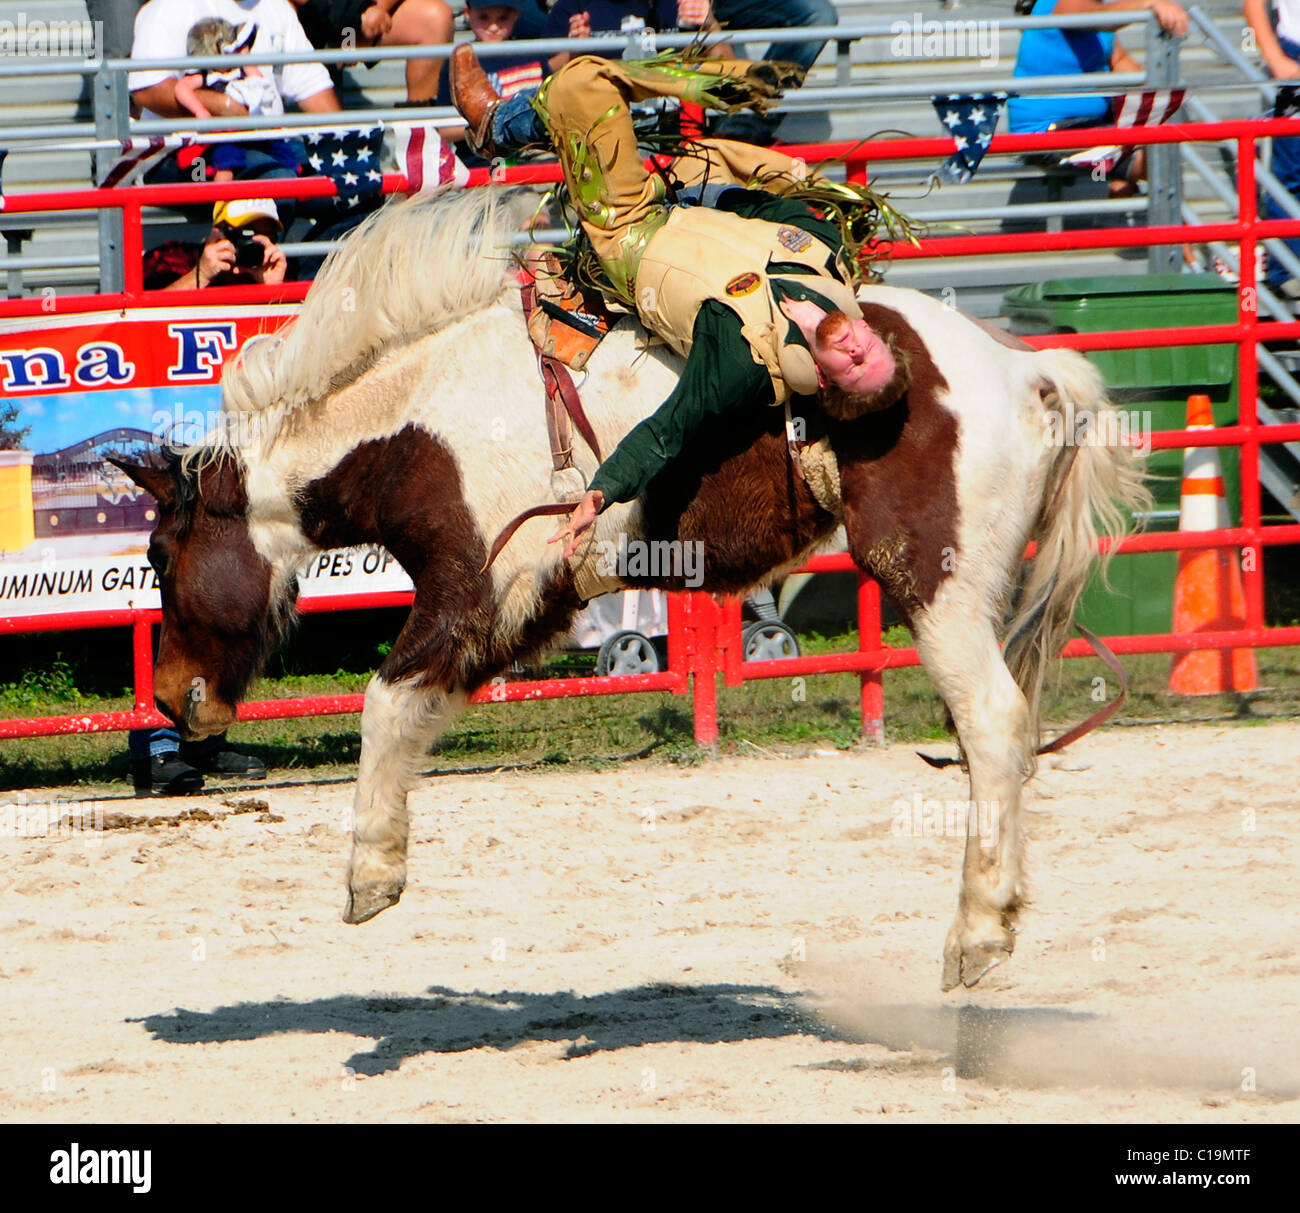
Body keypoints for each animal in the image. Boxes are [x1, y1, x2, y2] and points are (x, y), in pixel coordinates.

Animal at [112, 185, 1147, 991]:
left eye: (159, 556)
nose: (165, 698)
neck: (422, 423)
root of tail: (1026, 370)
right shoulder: (532, 602)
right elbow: (415, 703)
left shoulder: (479, 585)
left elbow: (384, 700)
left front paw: (372, 871)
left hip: (934, 582)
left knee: (996, 724)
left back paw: (977, 932)